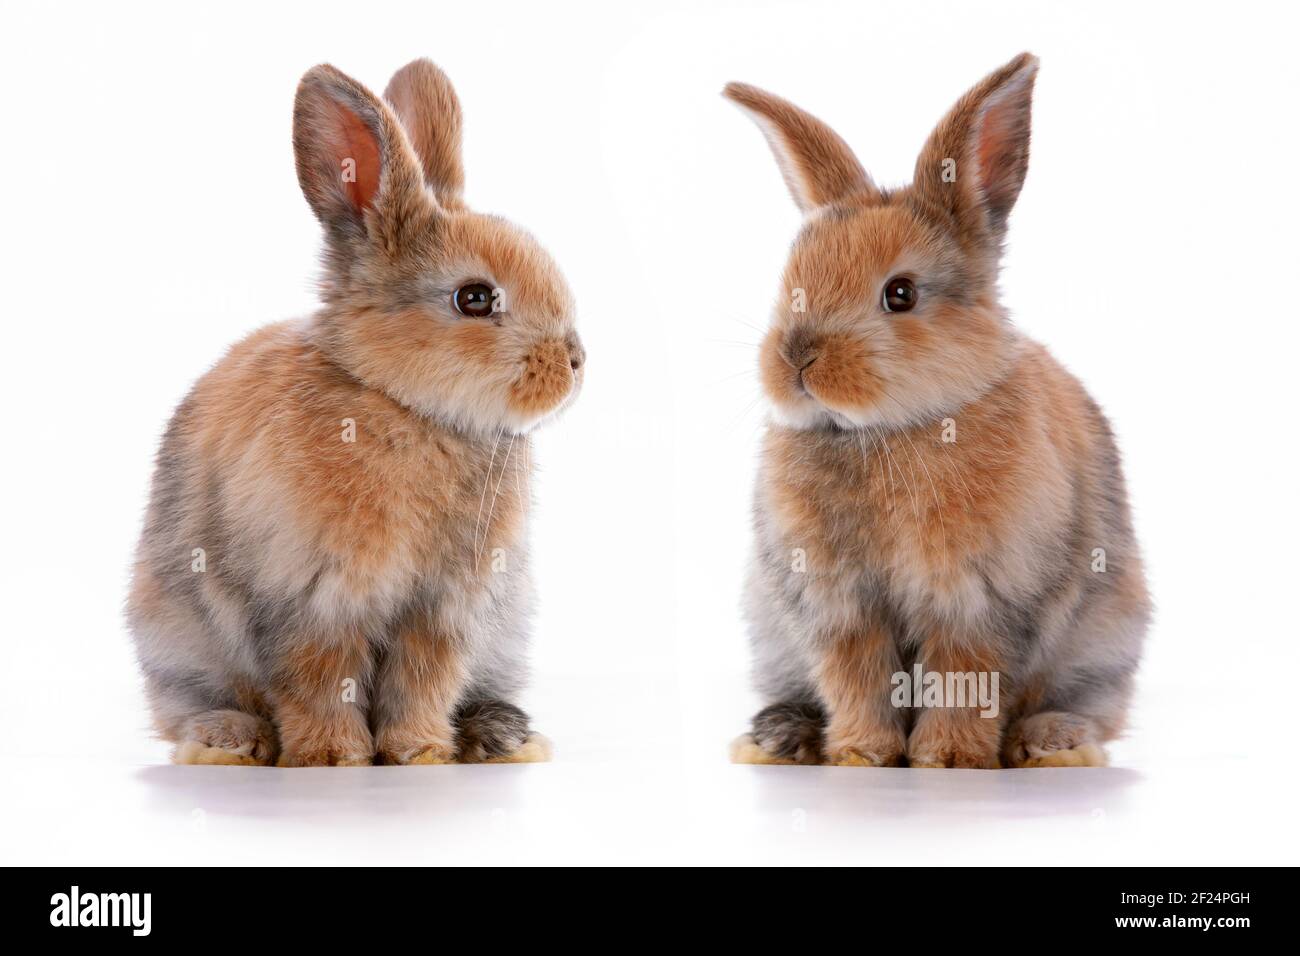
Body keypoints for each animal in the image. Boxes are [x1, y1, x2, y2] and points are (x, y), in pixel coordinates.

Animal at [126, 59, 584, 766]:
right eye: (475, 298)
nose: (576, 361)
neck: (401, 404)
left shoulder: (445, 611)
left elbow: (423, 682)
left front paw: (421, 755)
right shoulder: (312, 601)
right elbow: (319, 682)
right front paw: (331, 759)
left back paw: (502, 738)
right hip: (178, 641)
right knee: (195, 707)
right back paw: (230, 741)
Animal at [724, 53, 1149, 769]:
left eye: (900, 294)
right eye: (792, 280)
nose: (796, 359)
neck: (889, 431)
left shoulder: (978, 603)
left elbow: (964, 679)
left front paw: (948, 761)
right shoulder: (838, 608)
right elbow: (856, 678)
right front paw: (861, 757)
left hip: (1103, 640)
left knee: (1088, 708)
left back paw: (1049, 743)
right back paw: (781, 739)